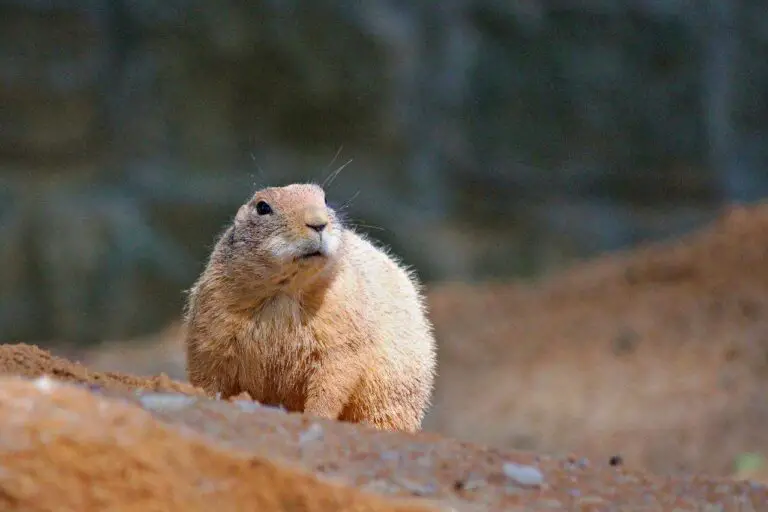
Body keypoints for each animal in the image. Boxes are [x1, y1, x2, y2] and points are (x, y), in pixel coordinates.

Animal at [183, 183, 436, 432]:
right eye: (262, 207)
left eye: (324, 199)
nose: (319, 223)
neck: (286, 292)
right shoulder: (212, 317)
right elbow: (208, 370)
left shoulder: (342, 323)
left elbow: (334, 378)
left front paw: (318, 415)